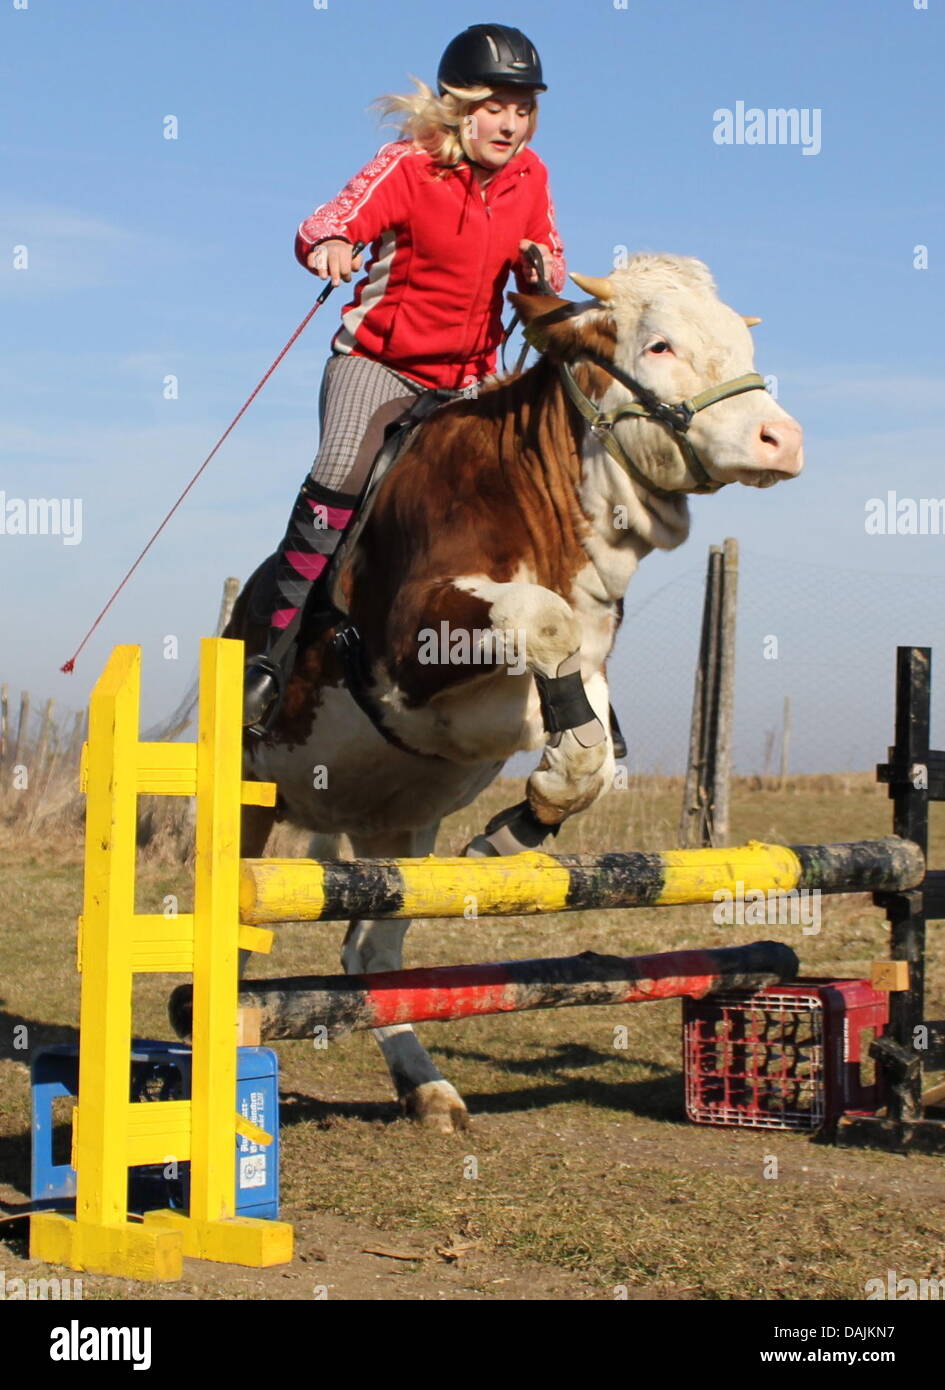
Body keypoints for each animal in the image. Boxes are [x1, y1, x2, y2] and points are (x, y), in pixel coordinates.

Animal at [226, 252, 804, 1132]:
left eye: (741, 342)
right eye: (659, 345)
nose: (782, 440)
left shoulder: (538, 691)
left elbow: (589, 745)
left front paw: (515, 828)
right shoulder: (407, 654)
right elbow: (544, 620)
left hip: (400, 829)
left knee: (368, 949)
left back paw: (425, 1088)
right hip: (251, 797)